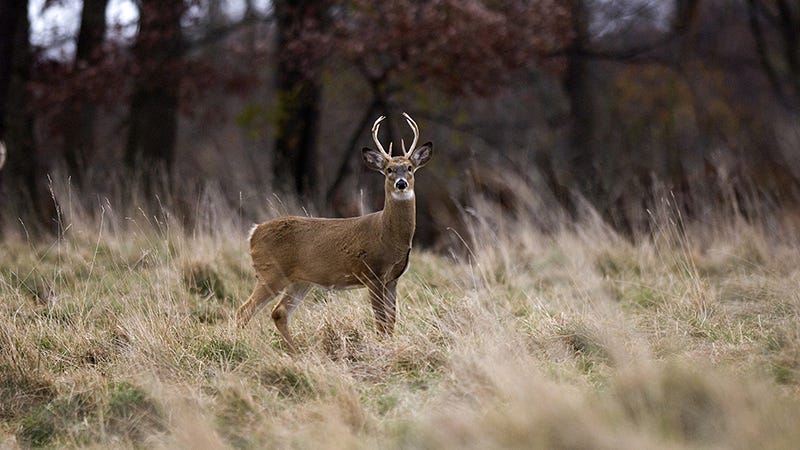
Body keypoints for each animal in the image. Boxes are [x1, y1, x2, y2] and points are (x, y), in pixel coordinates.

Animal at [236, 113, 432, 353]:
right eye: (389, 170)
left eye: (410, 168)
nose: (401, 183)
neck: (388, 236)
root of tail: (253, 232)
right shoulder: (372, 274)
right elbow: (380, 321)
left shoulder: (393, 279)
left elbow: (391, 322)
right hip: (270, 272)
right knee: (244, 311)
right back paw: (239, 346)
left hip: (300, 281)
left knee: (279, 312)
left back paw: (295, 353)